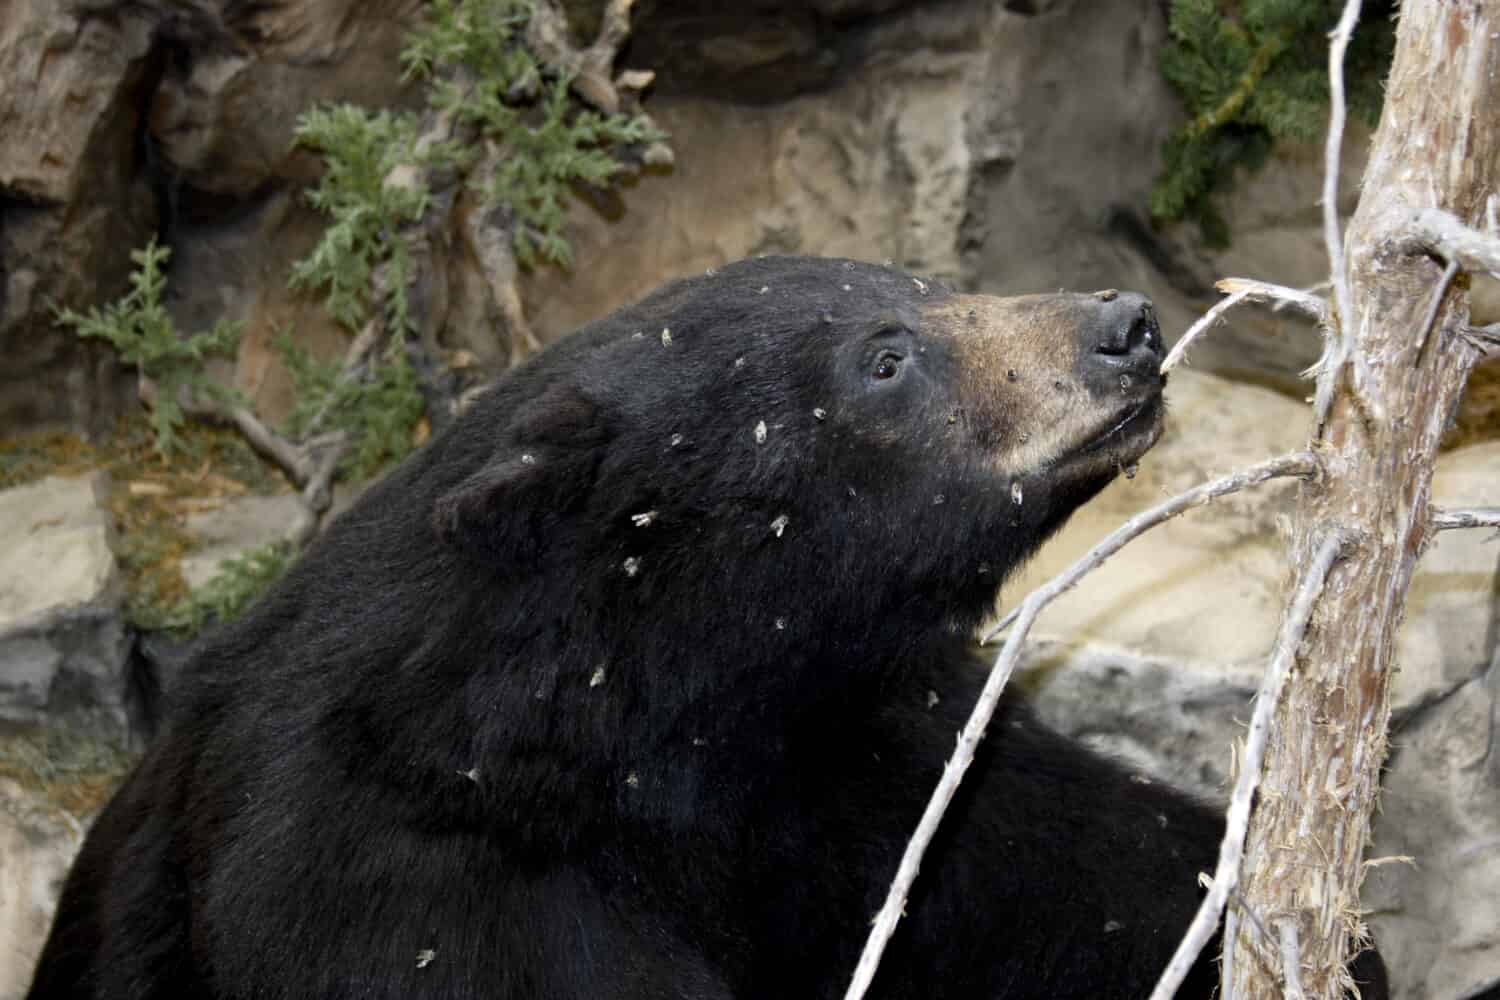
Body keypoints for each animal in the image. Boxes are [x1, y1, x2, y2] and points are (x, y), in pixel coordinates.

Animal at [29, 255, 1386, 999]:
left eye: (928, 284)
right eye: (886, 358)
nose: (1124, 326)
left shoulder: (842, 759)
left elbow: (1069, 862)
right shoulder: (407, 898)